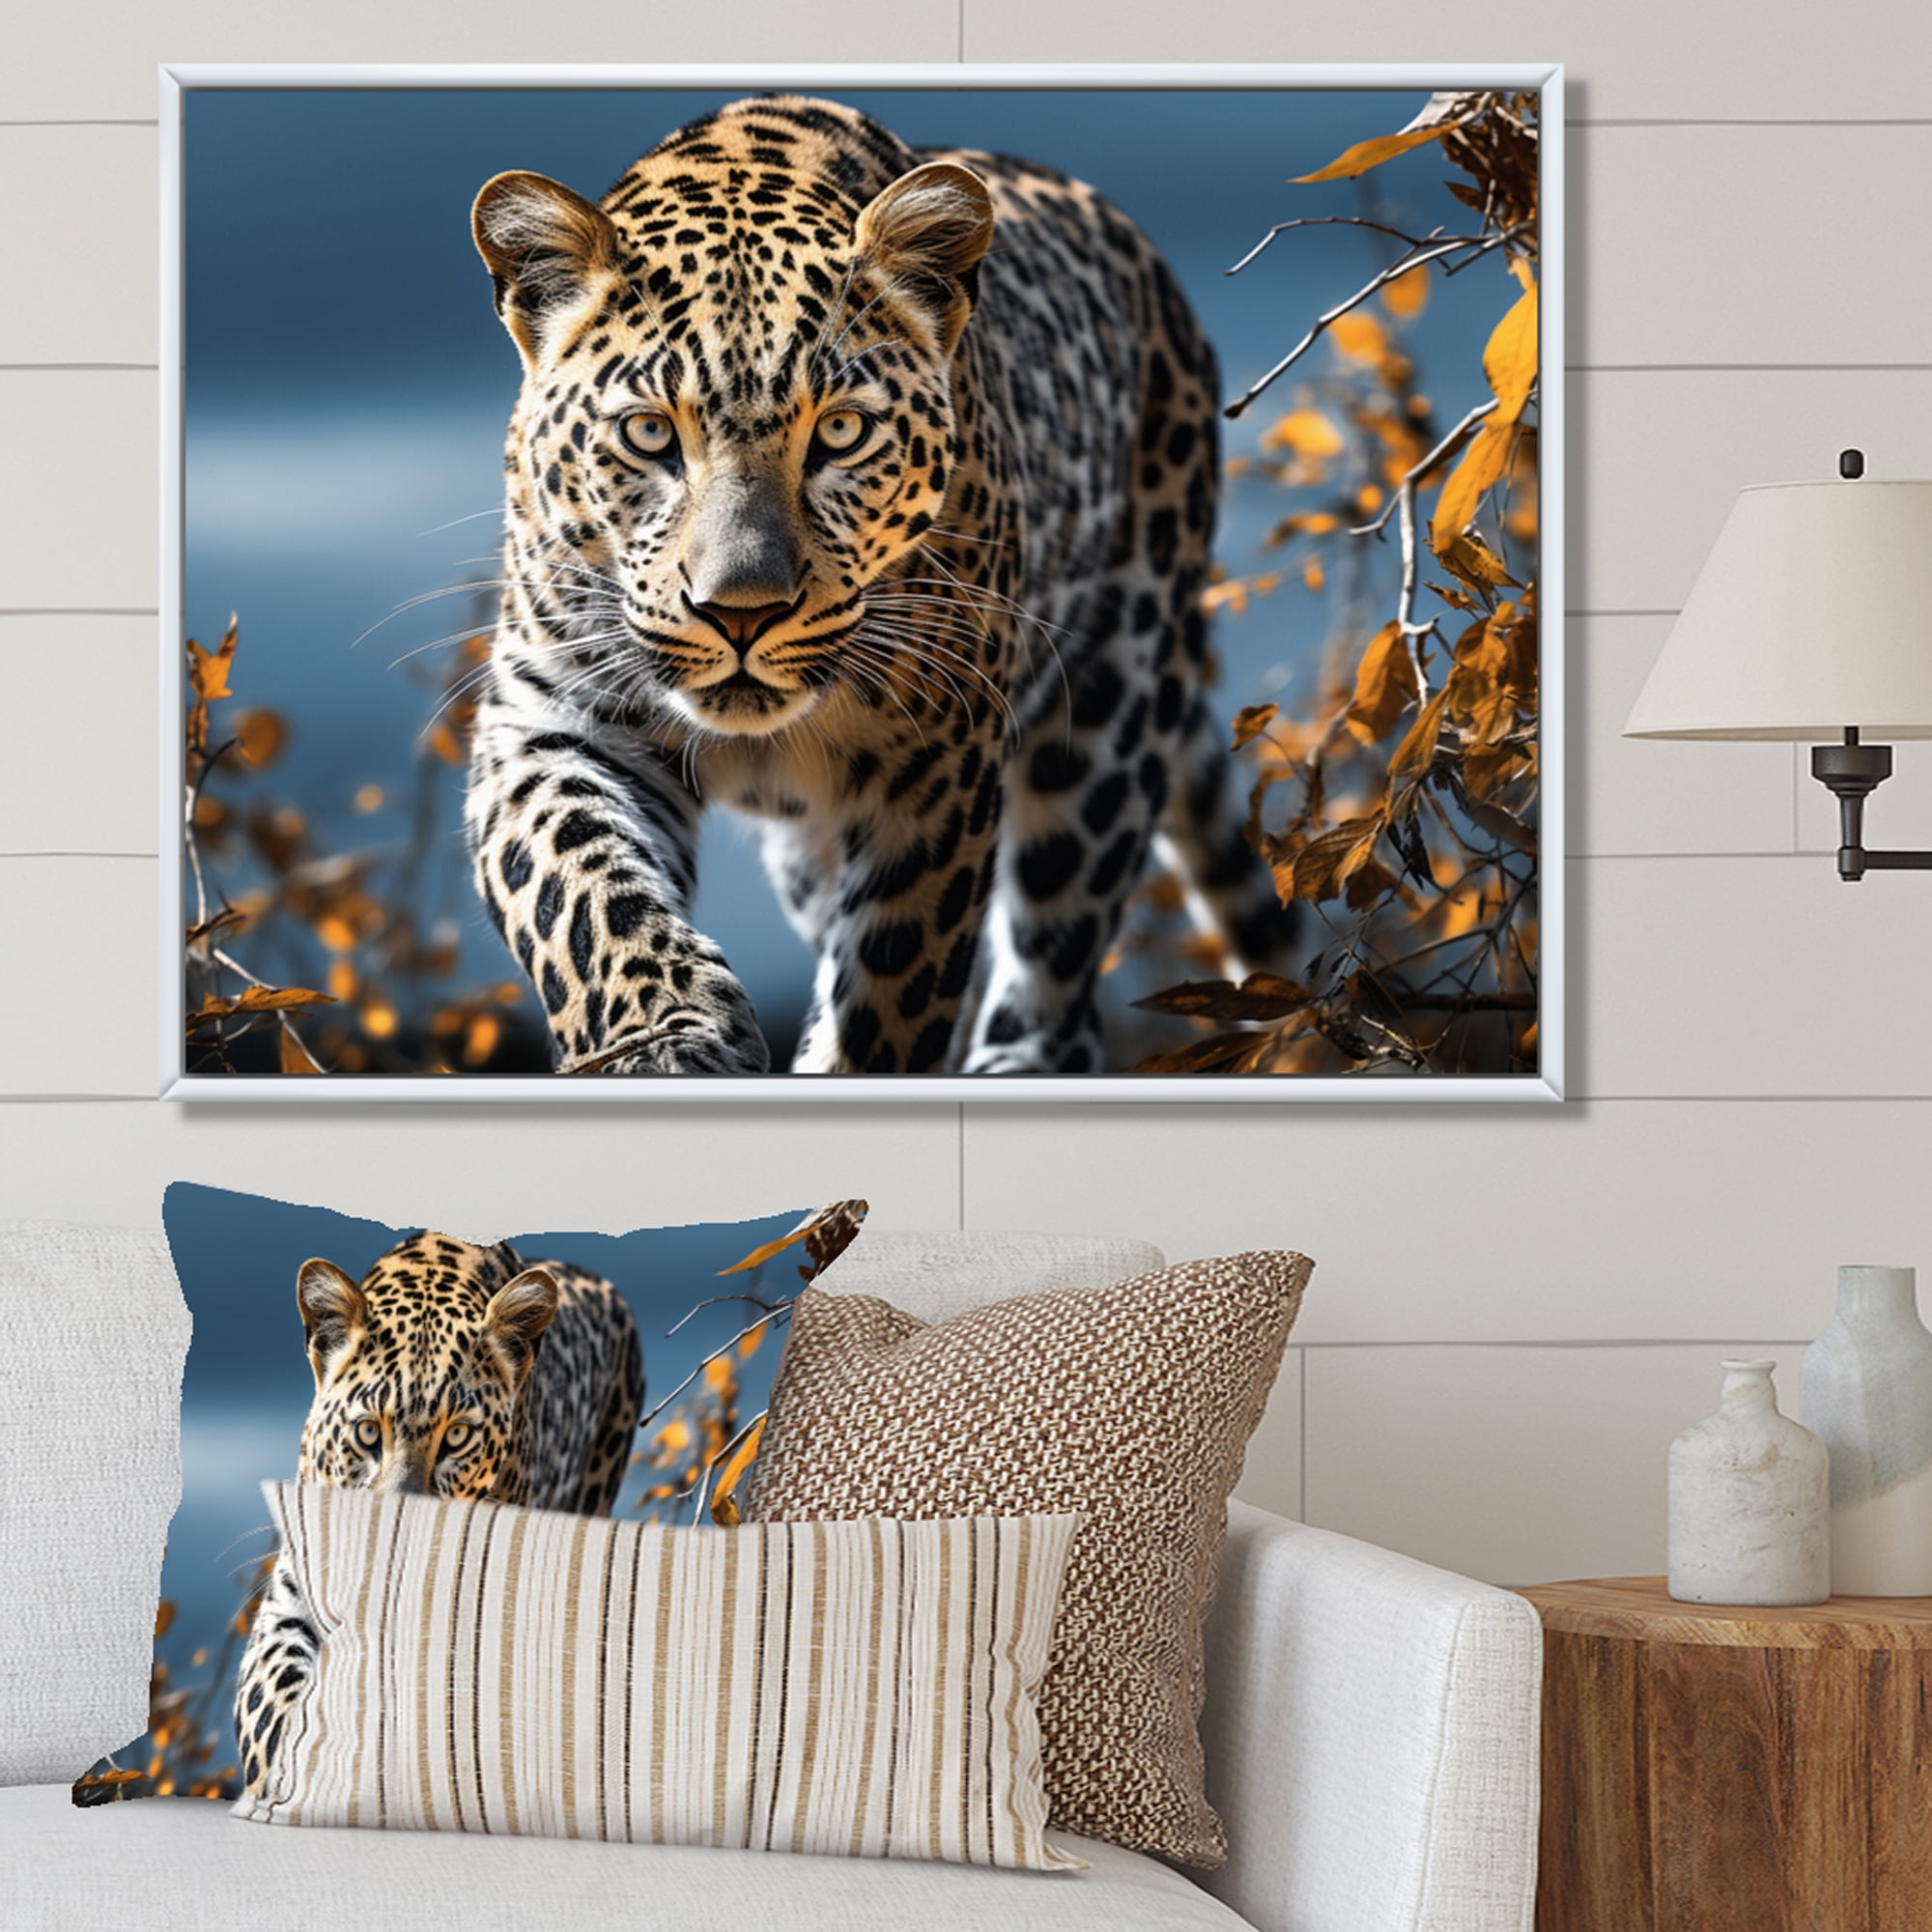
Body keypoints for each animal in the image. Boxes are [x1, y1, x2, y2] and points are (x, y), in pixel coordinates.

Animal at [464, 92, 1294, 1077]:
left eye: (842, 433)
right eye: (648, 434)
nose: (741, 615)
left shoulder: (939, 758)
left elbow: (892, 982)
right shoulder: (554, 715)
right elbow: (581, 888)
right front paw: (663, 1038)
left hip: (1108, 707)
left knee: (1058, 966)